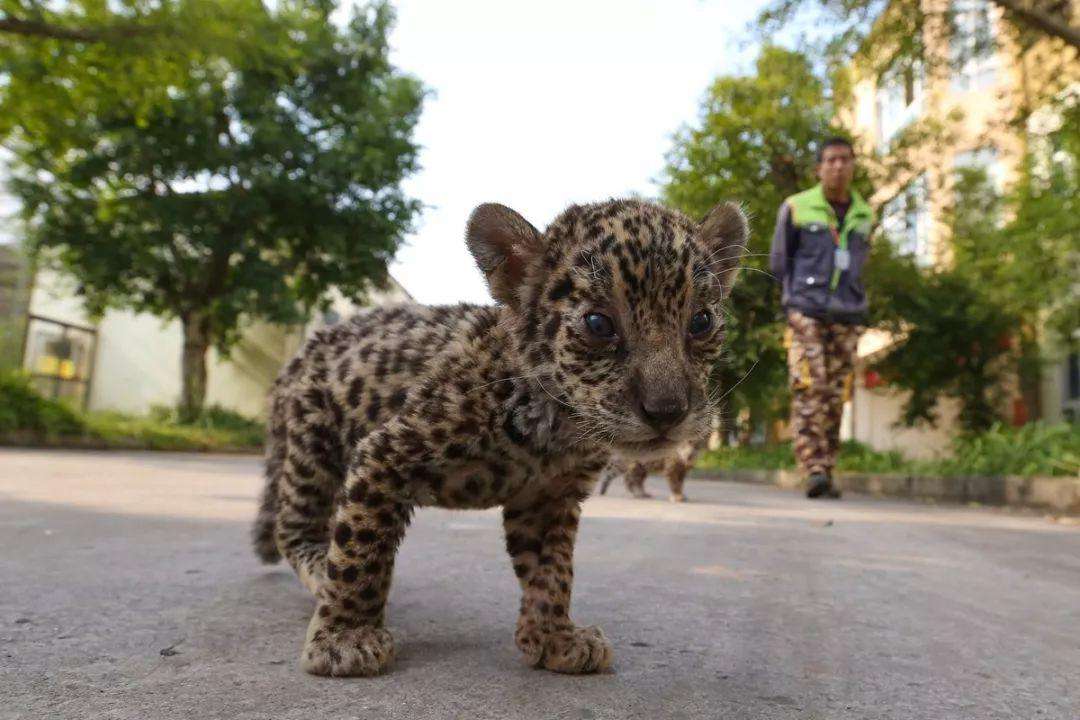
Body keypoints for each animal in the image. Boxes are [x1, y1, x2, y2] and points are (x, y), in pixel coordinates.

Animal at [251, 197, 747, 677]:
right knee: (295, 525)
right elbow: (361, 550)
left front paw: (554, 637)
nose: (667, 411)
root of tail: (301, 353)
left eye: (701, 321)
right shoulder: (384, 455)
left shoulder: (548, 496)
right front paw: (345, 637)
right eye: (598, 324)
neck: (557, 431)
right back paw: (321, 572)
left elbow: (553, 569)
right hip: (313, 444)